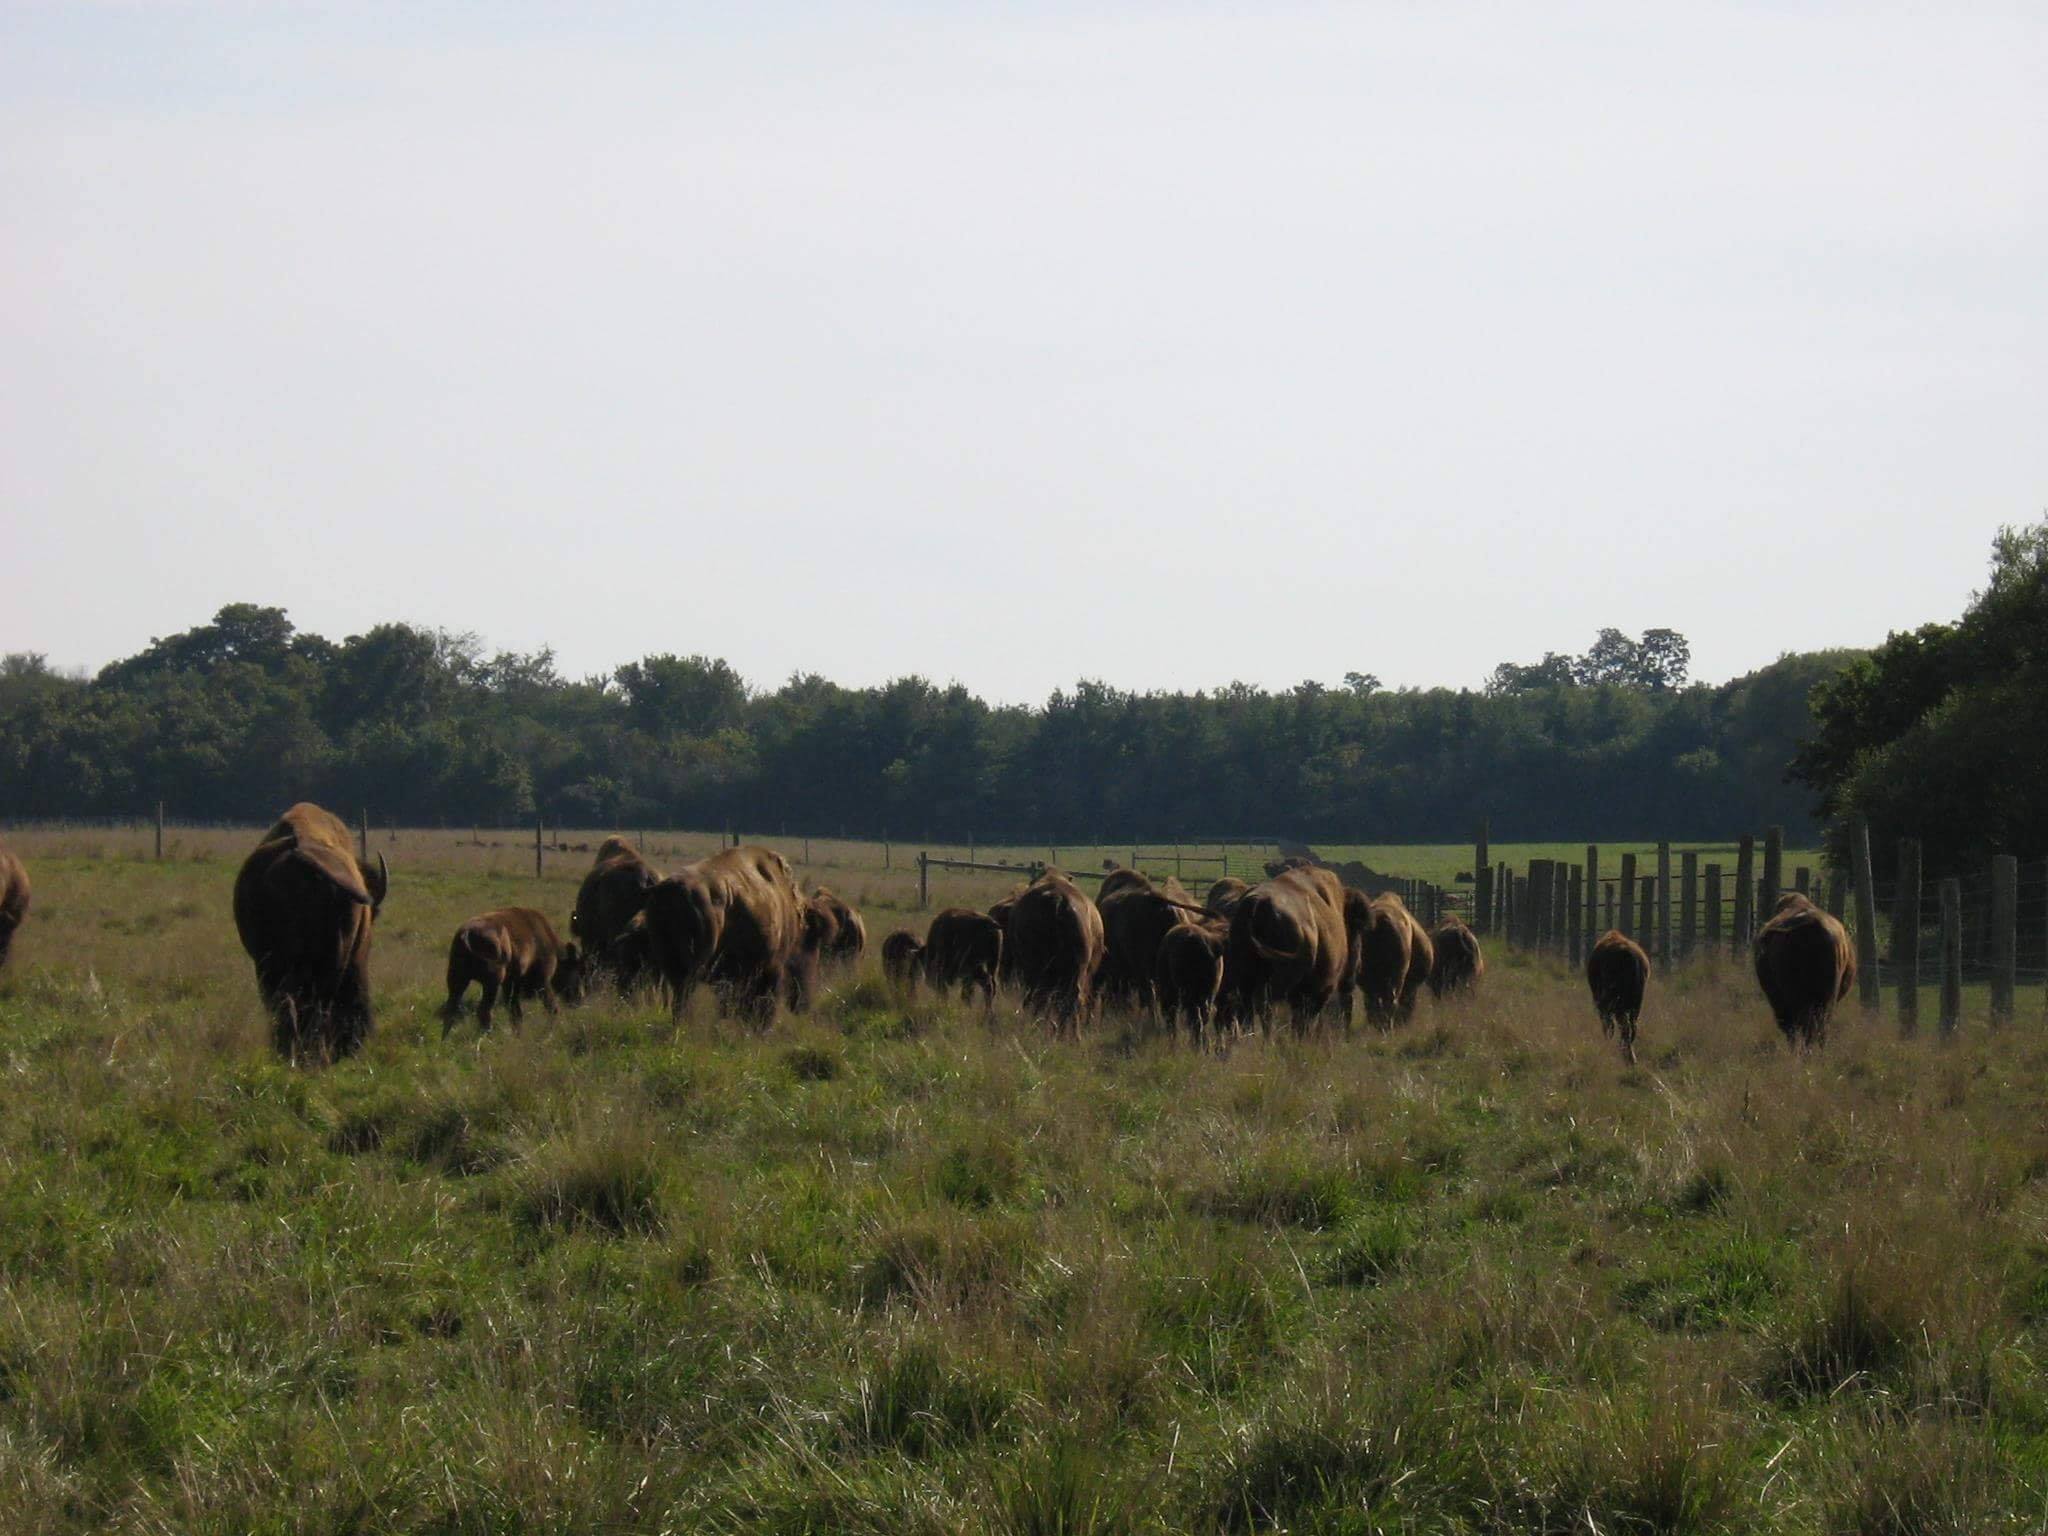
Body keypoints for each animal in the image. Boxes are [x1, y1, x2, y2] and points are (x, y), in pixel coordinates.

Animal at [440, 907, 584, 1035]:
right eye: (576, 970)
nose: (579, 999)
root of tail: (466, 933)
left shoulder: (510, 982)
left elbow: (514, 1009)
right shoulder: (542, 980)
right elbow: (551, 1006)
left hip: (457, 980)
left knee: (451, 1009)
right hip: (491, 983)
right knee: (484, 1010)